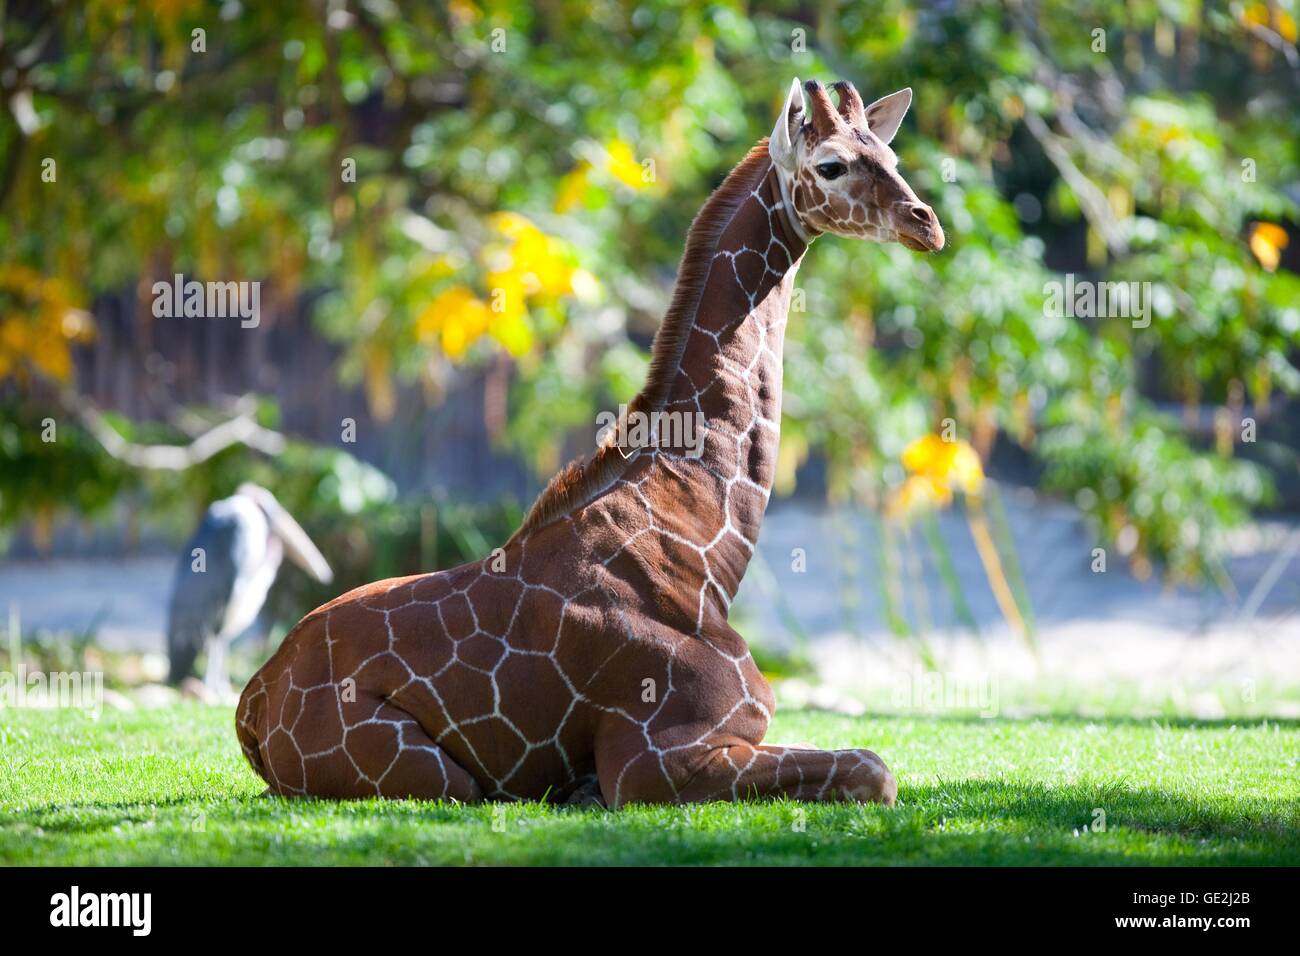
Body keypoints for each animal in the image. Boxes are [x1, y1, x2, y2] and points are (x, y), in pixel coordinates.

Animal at [236, 78, 944, 807]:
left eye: (888, 154)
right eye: (830, 165)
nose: (926, 223)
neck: (699, 539)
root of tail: (254, 703)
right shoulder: (651, 756)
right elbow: (875, 768)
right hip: (442, 778)